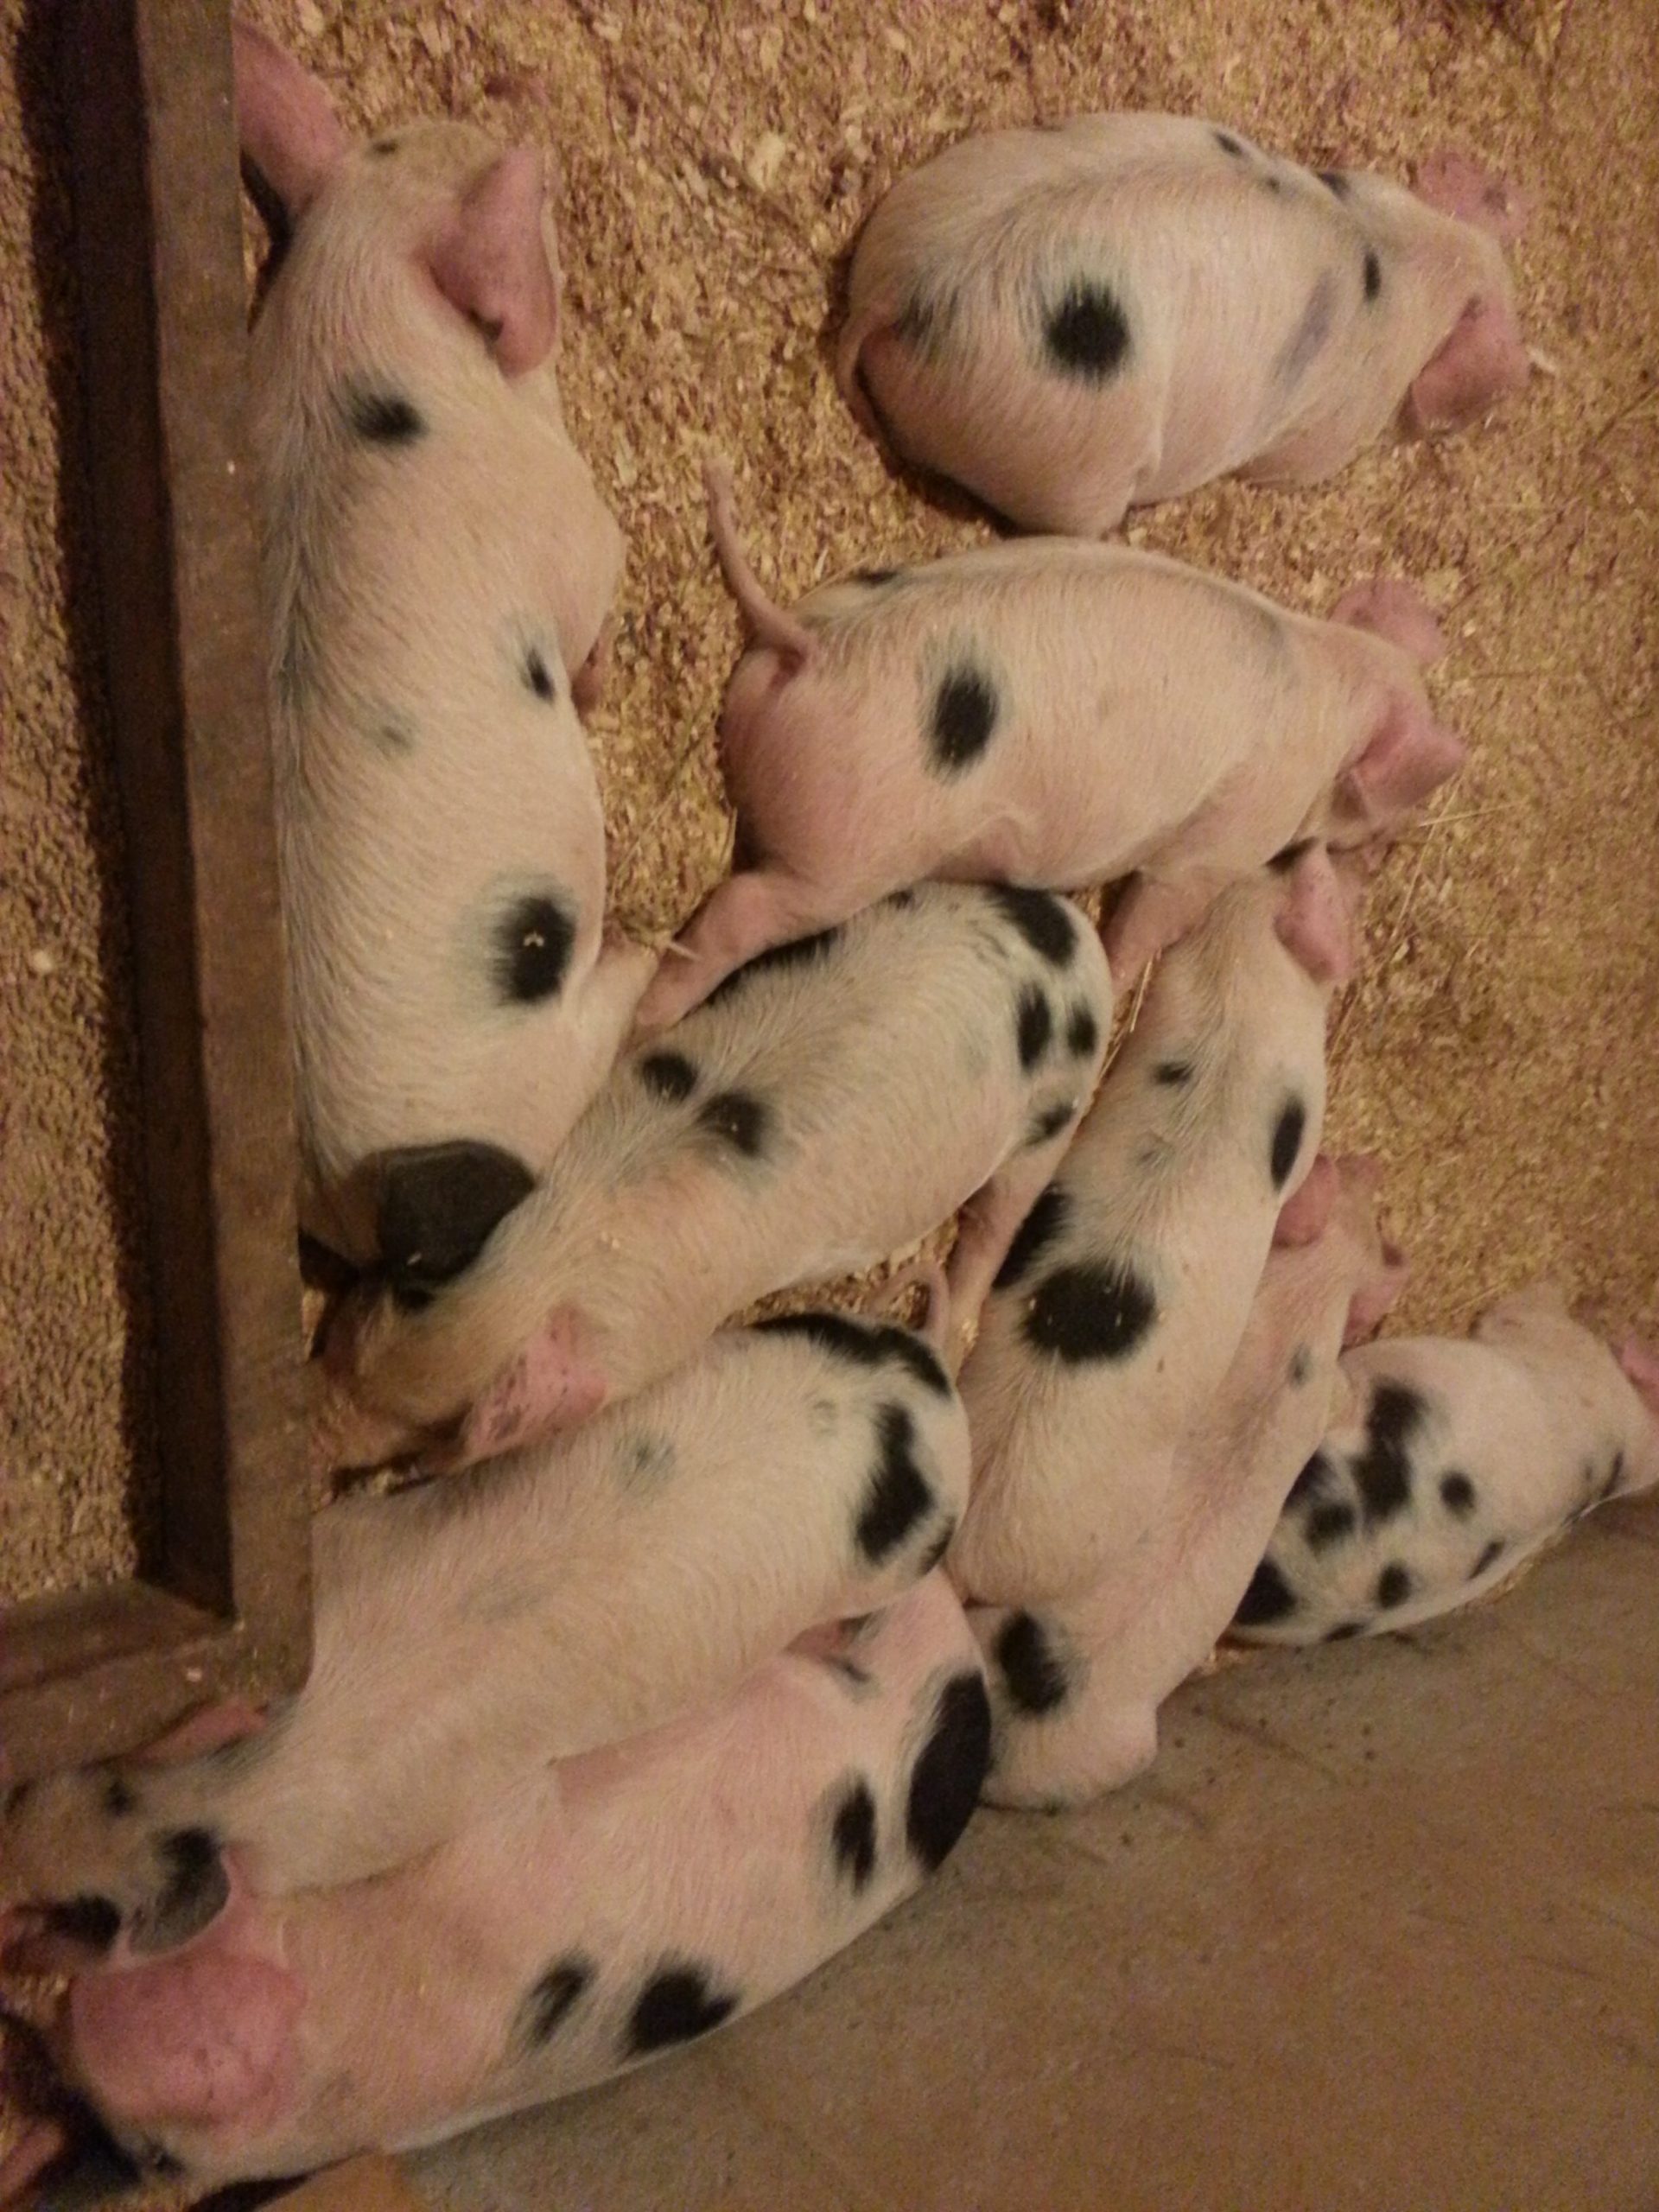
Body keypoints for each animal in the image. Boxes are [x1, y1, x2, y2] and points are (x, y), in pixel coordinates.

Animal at [0, 1312, 967, 1939]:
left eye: (82, 1914)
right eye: (45, 1782)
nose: (11, 1868)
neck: (225, 1786)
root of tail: (939, 1397)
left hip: (886, 1567)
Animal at [231, 26, 651, 1264]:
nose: (510, 119)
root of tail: (362, 1184)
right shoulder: (574, 528)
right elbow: (591, 604)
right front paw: (597, 681)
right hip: (538, 1065)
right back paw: (652, 944)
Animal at [325, 880, 1114, 1468]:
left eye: (431, 1428)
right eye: (380, 1306)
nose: (322, 1432)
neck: (569, 1245)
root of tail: (1082, 948)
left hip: (1056, 1112)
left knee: (995, 1225)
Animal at [631, 461, 1461, 1032]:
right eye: (1394, 814)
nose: (1380, 855)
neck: (1329, 691)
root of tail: (811, 649)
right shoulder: (1222, 839)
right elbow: (1156, 907)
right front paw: (1117, 981)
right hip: (837, 855)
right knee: (743, 908)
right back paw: (649, 1022)